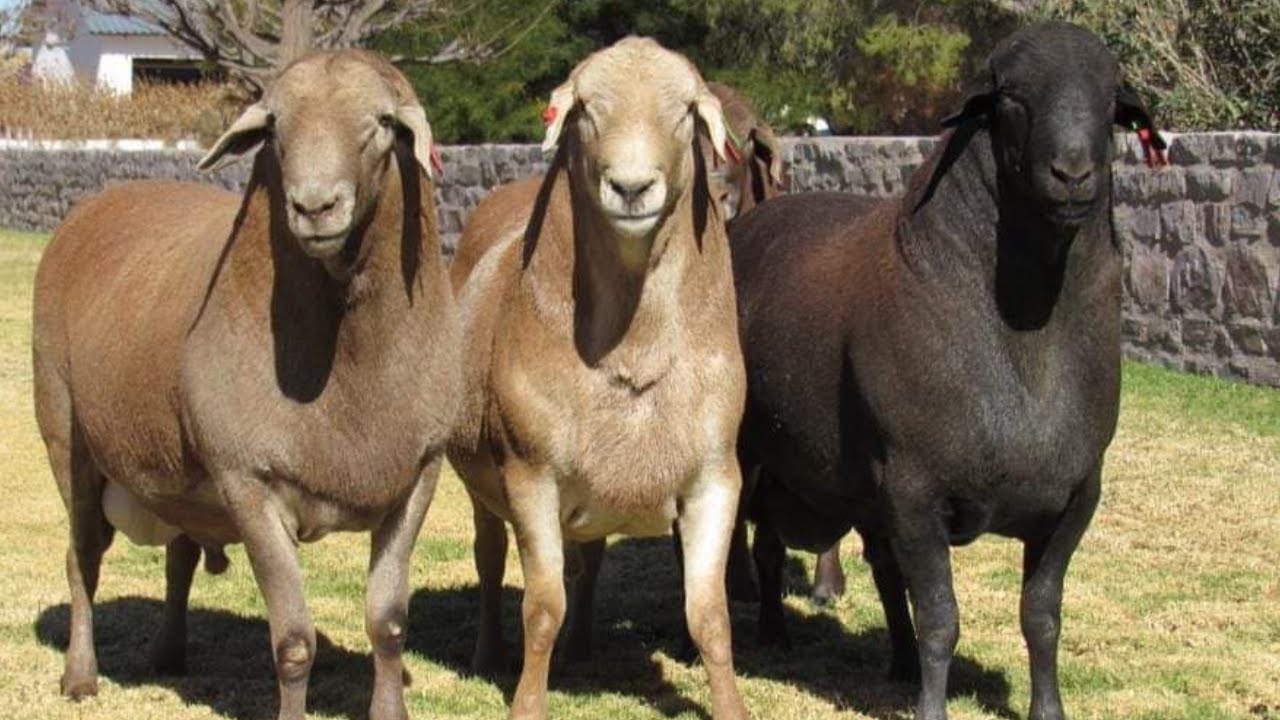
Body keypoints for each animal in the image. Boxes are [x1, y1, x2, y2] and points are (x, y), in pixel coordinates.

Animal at [32, 49, 460, 720]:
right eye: (275, 126)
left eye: (384, 123)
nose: (314, 207)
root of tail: (102, 200)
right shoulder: (248, 482)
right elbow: (294, 641)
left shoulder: (419, 472)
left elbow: (388, 622)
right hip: (64, 433)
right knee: (83, 559)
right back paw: (80, 676)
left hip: (175, 478)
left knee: (178, 555)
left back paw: (169, 654)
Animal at [447, 36, 750, 720]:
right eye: (587, 110)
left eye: (683, 110)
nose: (631, 186)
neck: (632, 346)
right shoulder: (530, 475)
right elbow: (540, 608)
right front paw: (527, 705)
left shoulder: (715, 477)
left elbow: (711, 616)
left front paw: (731, 707)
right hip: (482, 485)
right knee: (488, 563)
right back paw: (486, 655)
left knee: (586, 562)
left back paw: (581, 648)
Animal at [729, 23, 1165, 720]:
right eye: (1011, 97)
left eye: (1111, 103)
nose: (1072, 174)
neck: (1024, 336)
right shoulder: (914, 490)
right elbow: (940, 619)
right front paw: (932, 706)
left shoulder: (1075, 497)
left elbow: (1042, 616)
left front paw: (1047, 709)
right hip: (752, 455)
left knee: (846, 562)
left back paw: (862, 654)